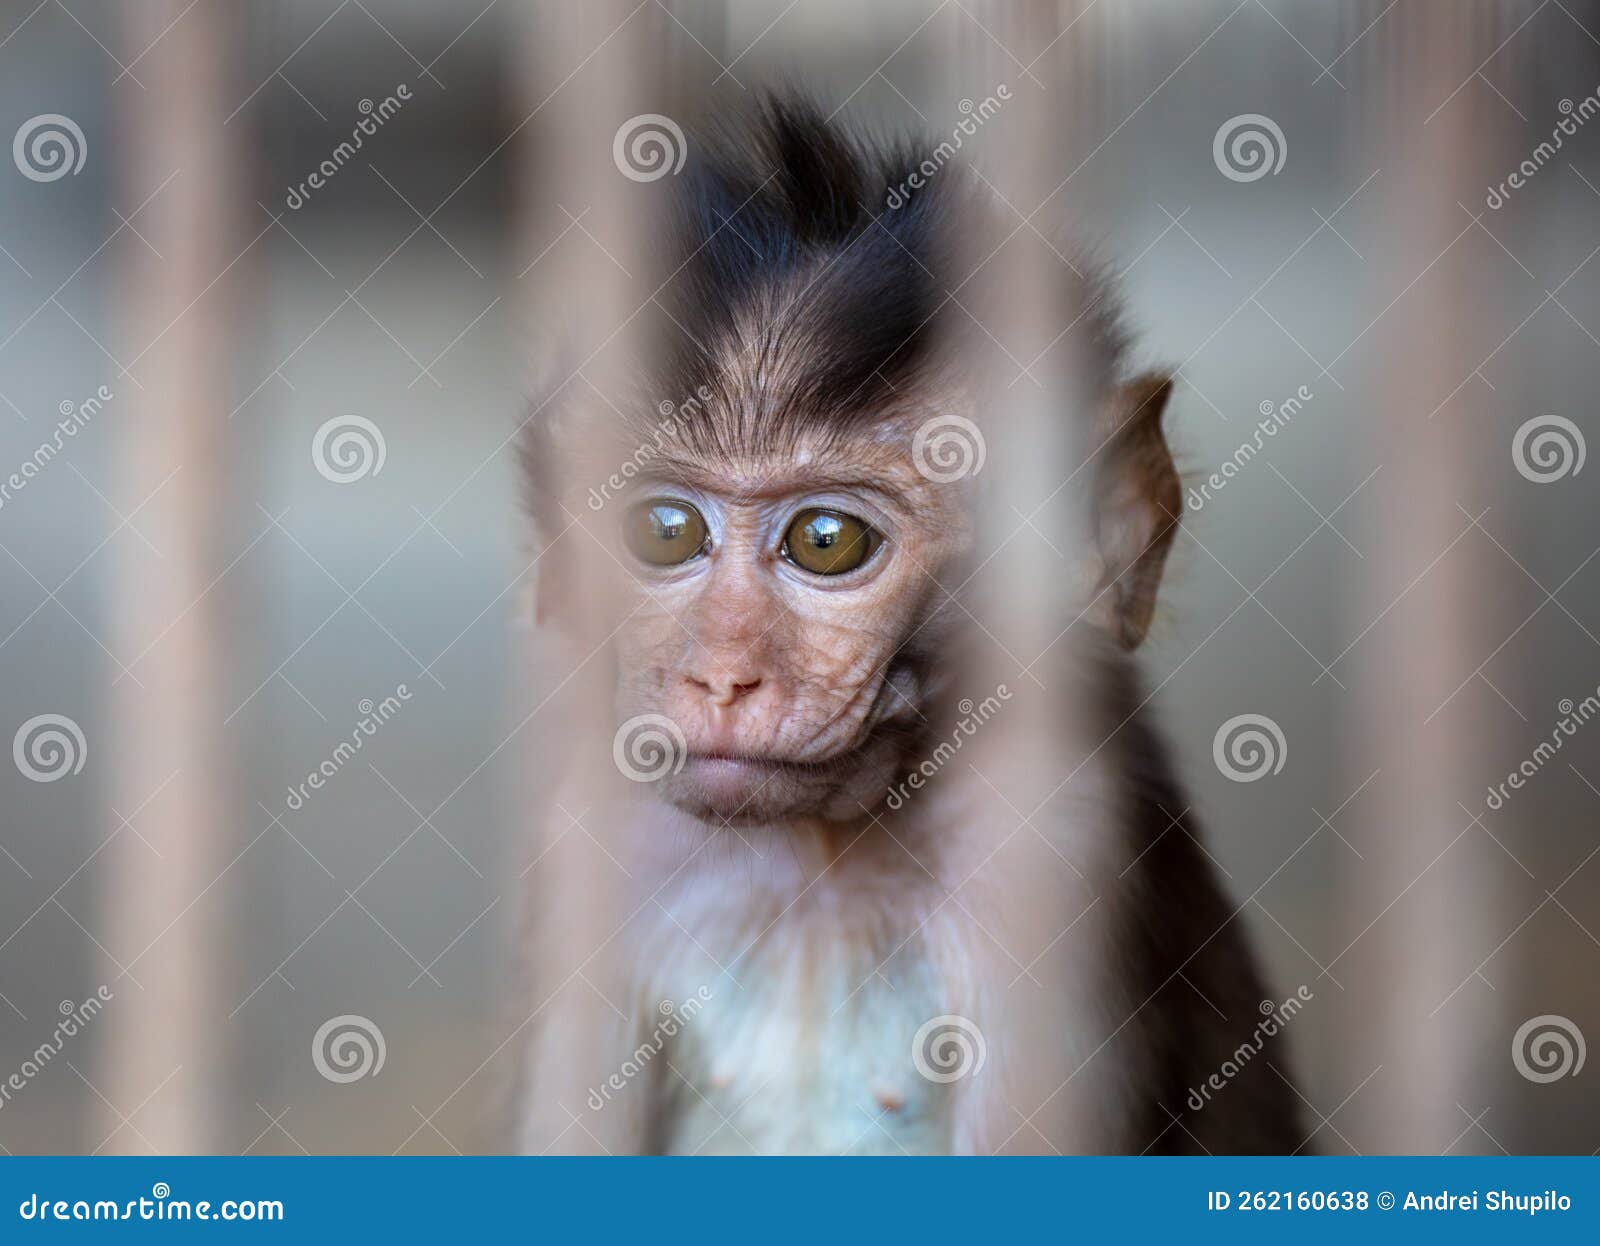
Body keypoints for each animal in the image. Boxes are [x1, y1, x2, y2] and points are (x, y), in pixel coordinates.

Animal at [514, 95, 1304, 1155]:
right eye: (663, 529)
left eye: (827, 542)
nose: (718, 676)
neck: (821, 855)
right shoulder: (595, 840)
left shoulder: (1057, 841)